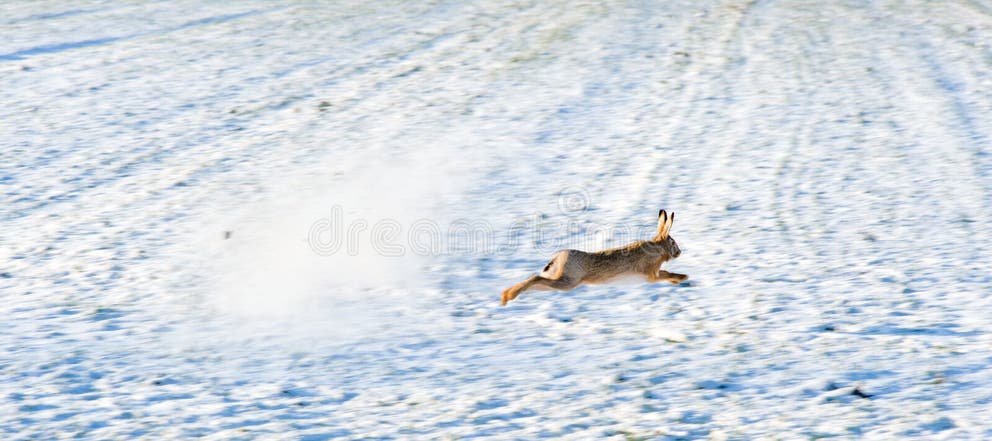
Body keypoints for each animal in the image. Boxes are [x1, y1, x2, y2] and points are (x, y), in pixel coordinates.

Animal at [501, 209, 687, 305]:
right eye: (673, 242)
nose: (679, 252)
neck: (658, 247)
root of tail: (556, 258)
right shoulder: (651, 274)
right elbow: (666, 274)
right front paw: (683, 277)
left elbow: (667, 274)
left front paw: (679, 280)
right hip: (568, 282)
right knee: (536, 278)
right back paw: (508, 297)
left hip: (560, 281)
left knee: (536, 281)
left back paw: (507, 295)